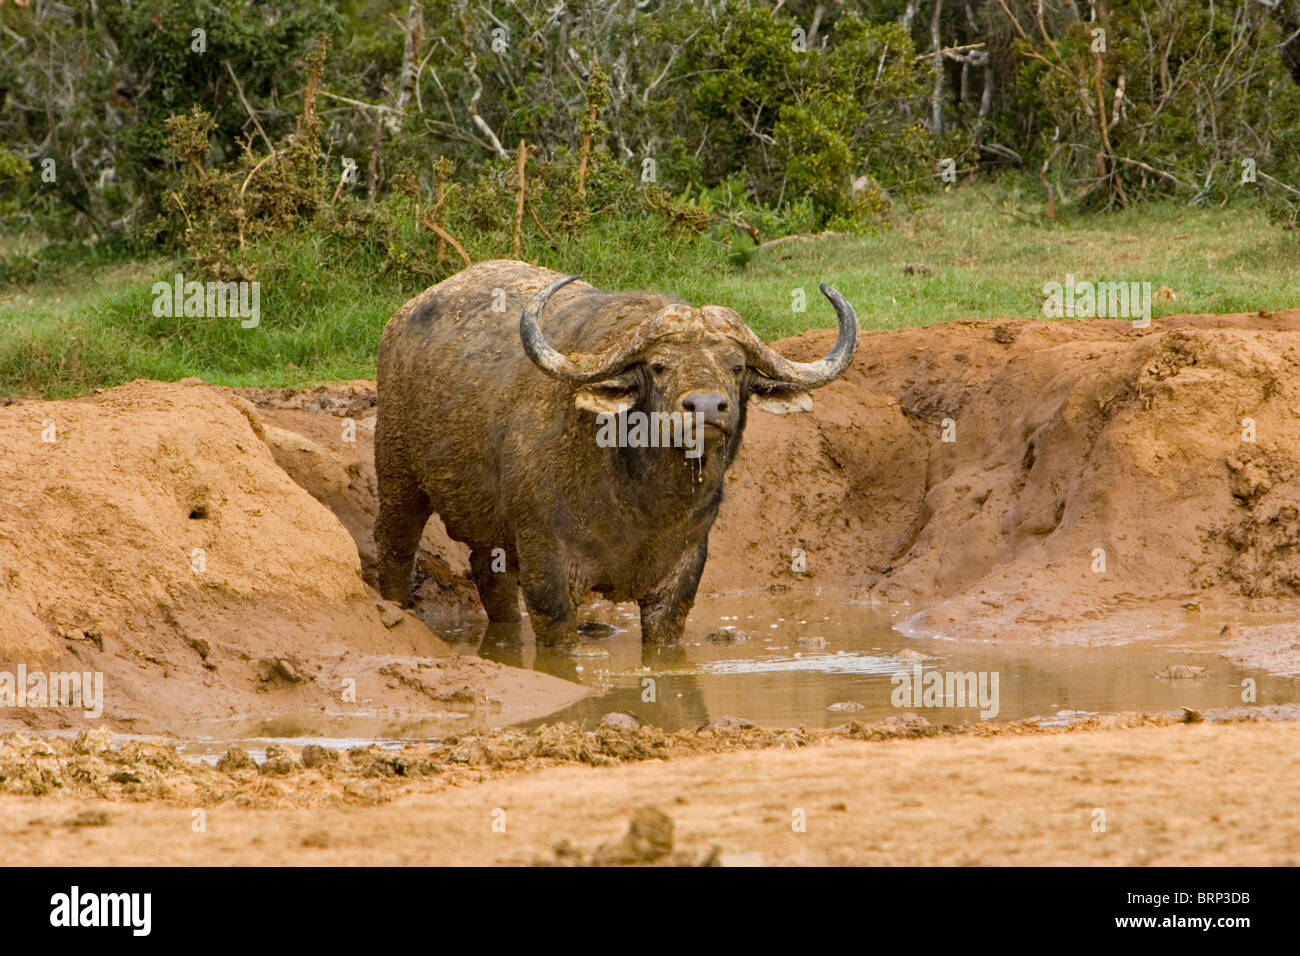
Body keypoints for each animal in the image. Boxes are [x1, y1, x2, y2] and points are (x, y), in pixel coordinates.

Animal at [374, 260, 857, 645]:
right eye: (659, 366)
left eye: (736, 367)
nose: (706, 407)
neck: (641, 500)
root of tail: (401, 320)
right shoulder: (548, 570)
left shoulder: (682, 573)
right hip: (397, 474)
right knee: (395, 548)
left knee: (489, 579)